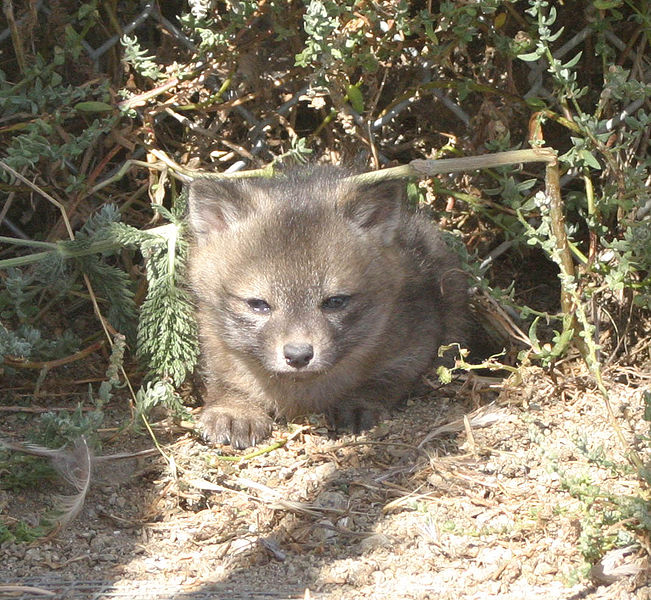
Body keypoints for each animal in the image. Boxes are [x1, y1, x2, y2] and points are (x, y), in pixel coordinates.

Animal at [187, 165, 471, 448]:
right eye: (258, 304)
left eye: (335, 302)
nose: (298, 356)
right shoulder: (214, 342)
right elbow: (225, 381)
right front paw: (235, 410)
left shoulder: (417, 342)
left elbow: (383, 380)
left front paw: (357, 403)